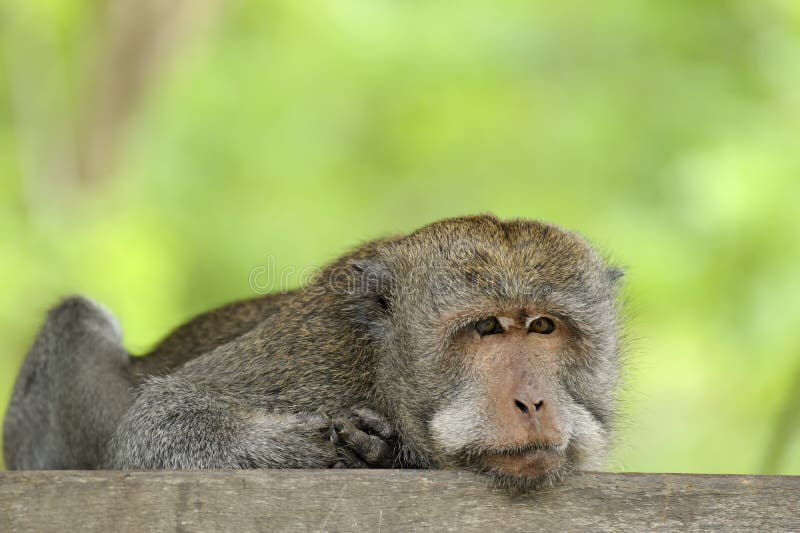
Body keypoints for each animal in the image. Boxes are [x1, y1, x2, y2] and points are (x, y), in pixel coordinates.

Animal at [3, 215, 624, 492]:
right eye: (489, 328)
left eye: (542, 326)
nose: (533, 402)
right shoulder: (317, 355)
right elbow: (161, 423)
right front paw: (308, 448)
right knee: (75, 319)